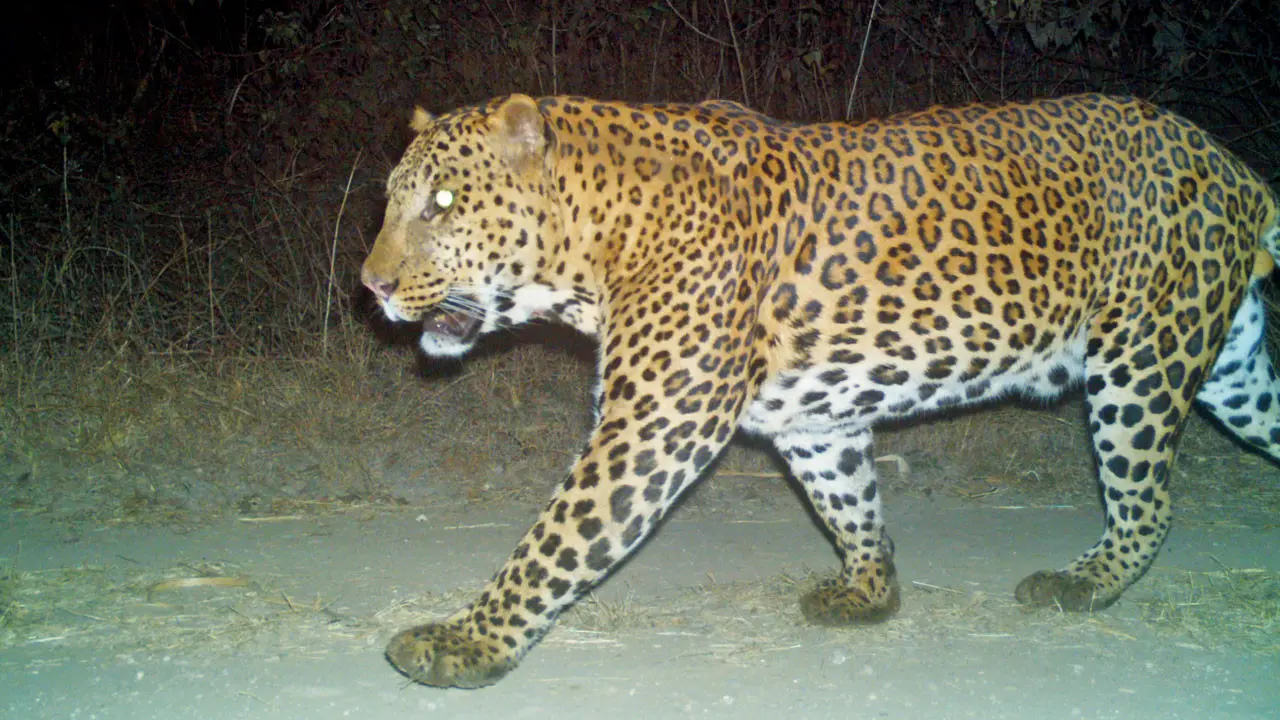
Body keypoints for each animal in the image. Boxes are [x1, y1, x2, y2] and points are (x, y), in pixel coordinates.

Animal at [360, 92, 1280, 688]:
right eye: (393, 202)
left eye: (444, 202)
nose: (371, 286)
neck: (597, 240)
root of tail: (1234, 166)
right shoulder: (814, 420)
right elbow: (853, 504)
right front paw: (872, 594)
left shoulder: (654, 422)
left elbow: (556, 540)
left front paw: (468, 643)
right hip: (1230, 364)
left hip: (1143, 355)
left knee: (1148, 504)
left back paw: (1081, 584)